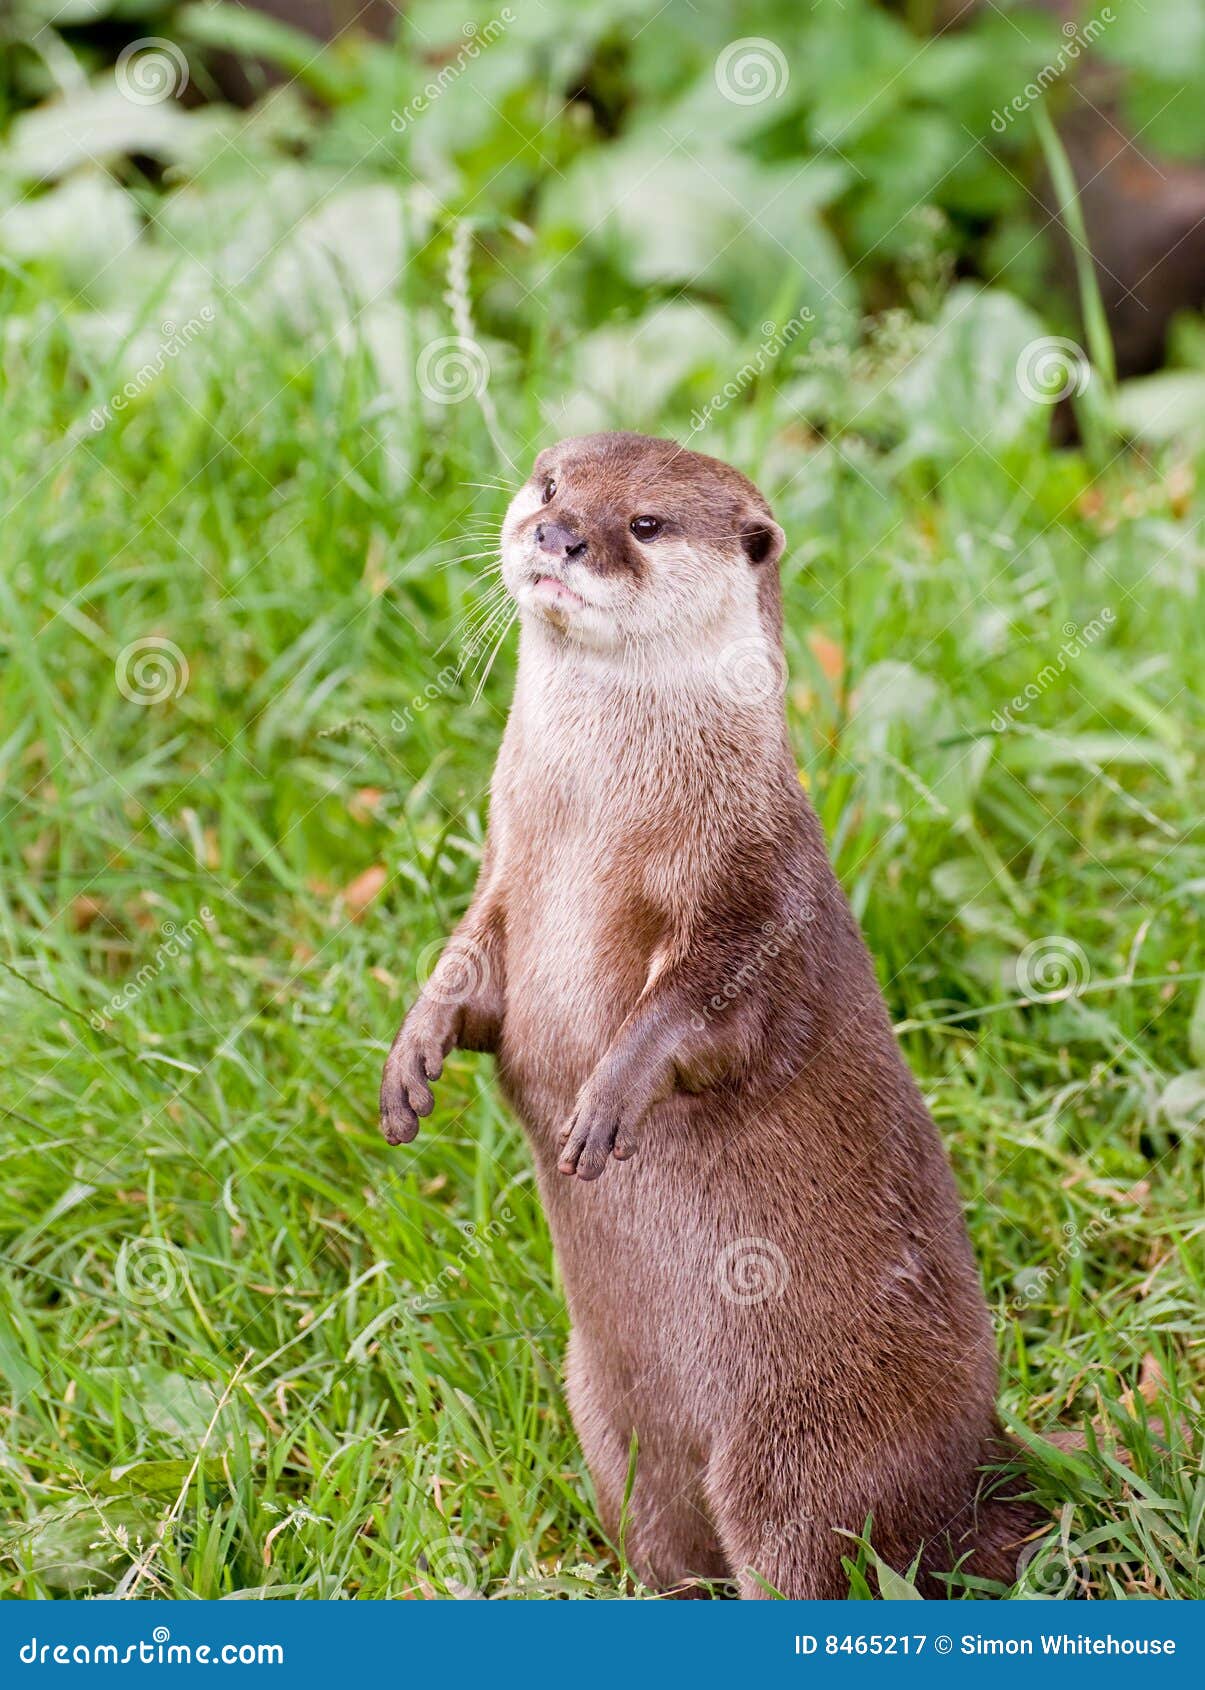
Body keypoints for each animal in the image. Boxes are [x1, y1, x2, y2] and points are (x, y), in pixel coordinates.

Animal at [380, 431, 1037, 1598]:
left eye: (644, 524)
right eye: (552, 484)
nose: (559, 534)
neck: (596, 819)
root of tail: (978, 1474)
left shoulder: (752, 898)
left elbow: (706, 1015)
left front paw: (605, 1097)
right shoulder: (504, 875)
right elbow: (466, 972)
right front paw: (413, 1056)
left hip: (807, 1452)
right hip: (607, 1423)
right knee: (662, 1533)